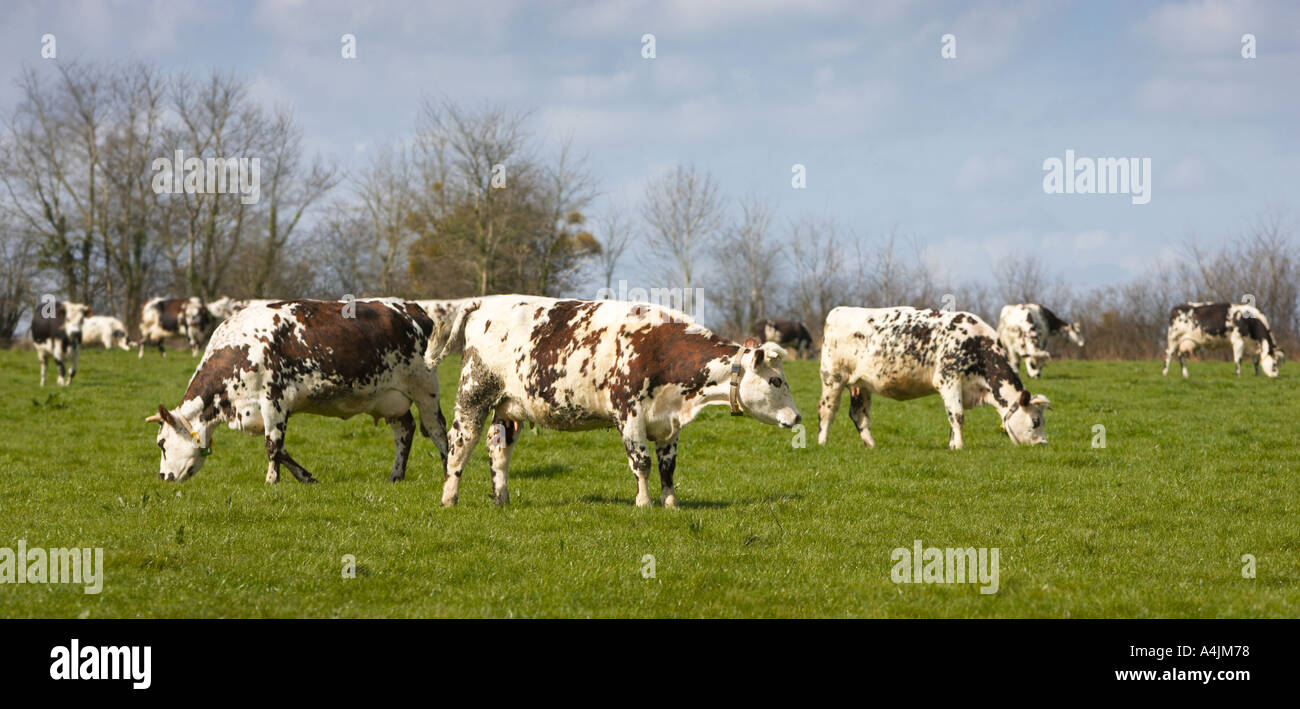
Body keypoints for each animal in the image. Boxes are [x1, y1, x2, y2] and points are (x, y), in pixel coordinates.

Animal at [146, 298, 450, 484]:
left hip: (425, 388)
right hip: (391, 399)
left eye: (161, 443)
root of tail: (411, 308)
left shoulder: (274, 400)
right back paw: (396, 476)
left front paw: (272, 481)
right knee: (405, 431)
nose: (162, 477)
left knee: (438, 430)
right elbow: (279, 448)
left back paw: (449, 472)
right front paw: (305, 478)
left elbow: (273, 446)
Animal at [435, 297, 801, 508]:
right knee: (460, 444)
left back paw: (502, 500)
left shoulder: (669, 424)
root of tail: (485, 302)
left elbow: (668, 467)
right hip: (474, 394)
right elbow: (642, 463)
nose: (797, 417)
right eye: (776, 381)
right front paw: (643, 503)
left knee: (498, 451)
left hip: (508, 407)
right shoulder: (629, 415)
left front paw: (671, 504)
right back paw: (449, 498)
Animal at [818, 306, 1052, 450]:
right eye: (1035, 421)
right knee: (827, 410)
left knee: (859, 414)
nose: (1042, 444)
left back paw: (871, 445)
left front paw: (952, 444)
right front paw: (959, 446)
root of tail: (838, 311)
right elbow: (957, 416)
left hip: (861, 385)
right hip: (833, 378)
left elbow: (952, 419)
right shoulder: (949, 380)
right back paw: (822, 442)